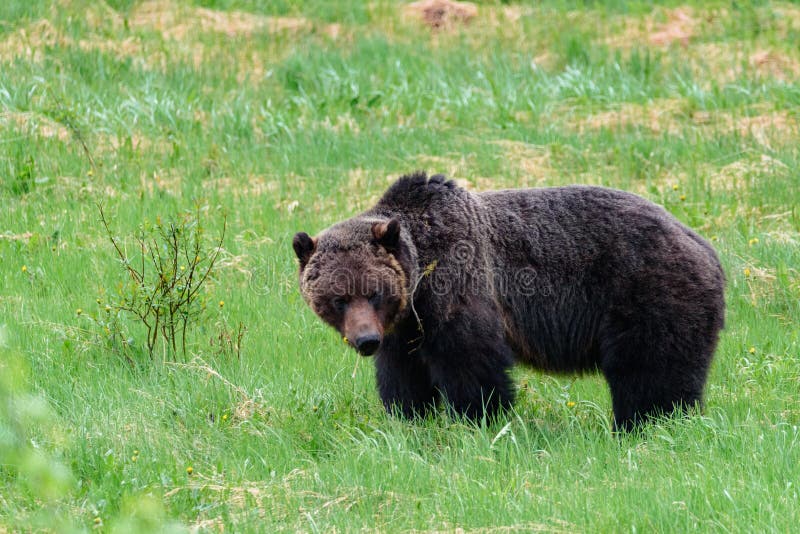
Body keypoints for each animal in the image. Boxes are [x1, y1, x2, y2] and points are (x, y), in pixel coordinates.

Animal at [293, 171, 725, 431]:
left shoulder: (461, 285)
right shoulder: (406, 328)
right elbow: (403, 375)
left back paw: (645, 424)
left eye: (374, 292)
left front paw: (479, 417)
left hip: (649, 292)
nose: (365, 340)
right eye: (337, 298)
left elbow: (472, 361)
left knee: (651, 372)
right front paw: (410, 417)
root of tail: (706, 247)